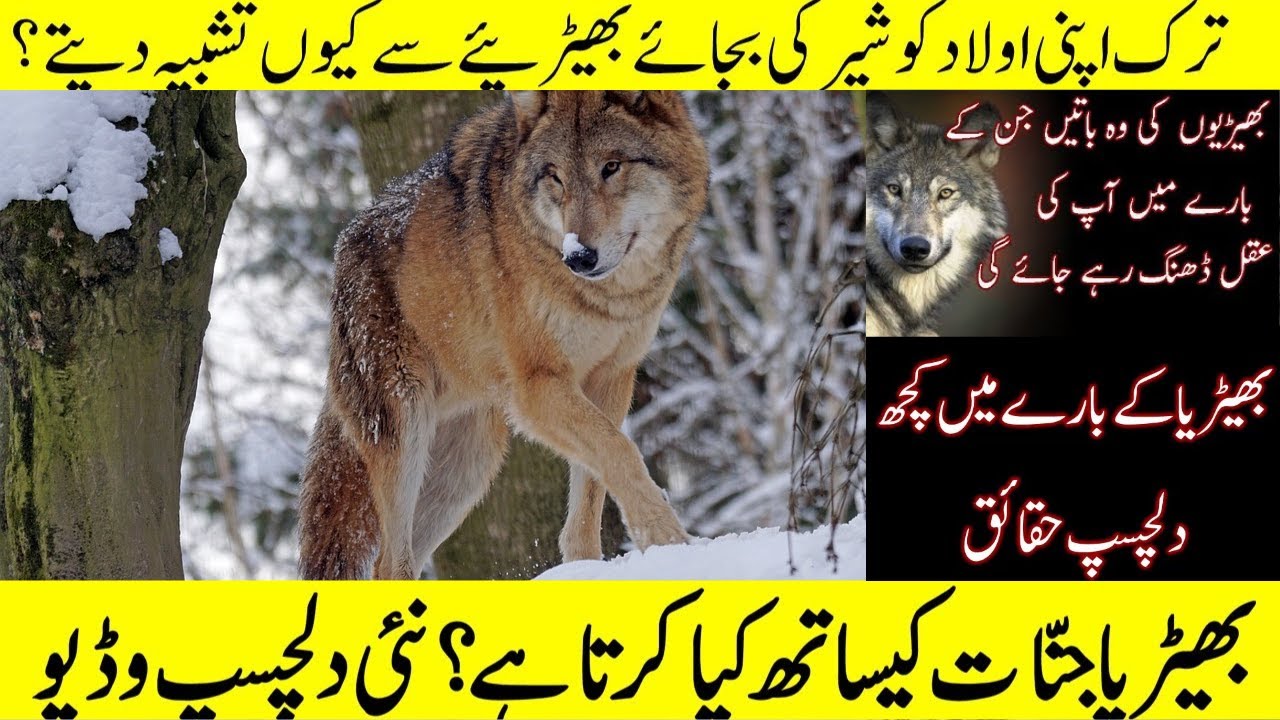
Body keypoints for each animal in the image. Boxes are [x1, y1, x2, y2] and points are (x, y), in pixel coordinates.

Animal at [297, 91, 710, 580]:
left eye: (611, 166)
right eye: (555, 176)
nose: (578, 256)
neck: (608, 299)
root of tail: (342, 248)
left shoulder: (611, 378)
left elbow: (593, 488)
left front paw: (589, 568)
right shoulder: (537, 388)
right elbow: (622, 453)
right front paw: (672, 544)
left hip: (467, 470)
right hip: (406, 431)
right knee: (387, 564)